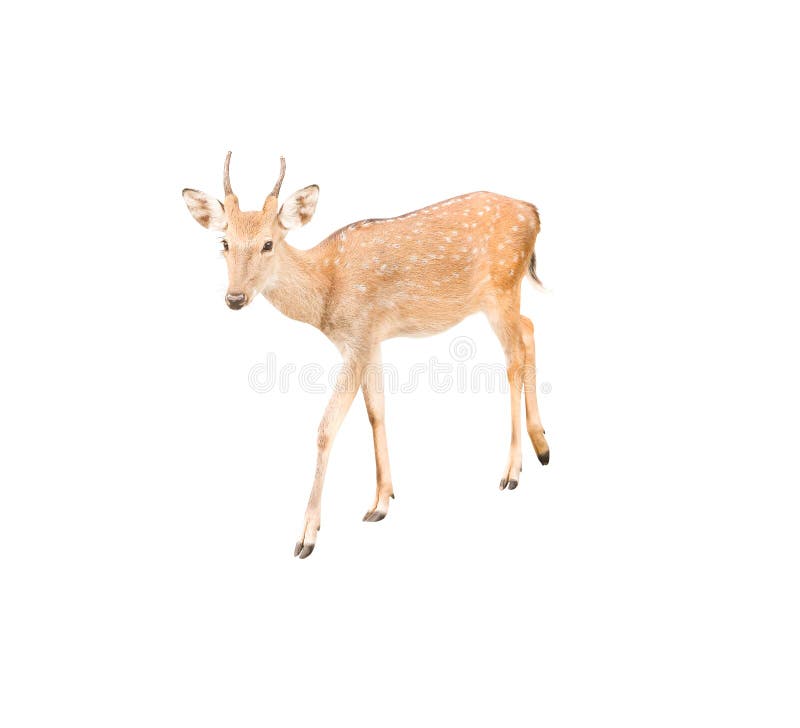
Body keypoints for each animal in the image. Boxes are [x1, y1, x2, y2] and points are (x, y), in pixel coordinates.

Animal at [182, 153, 550, 558]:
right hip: (505, 293)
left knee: (513, 356)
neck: (327, 290)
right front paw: (381, 502)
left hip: (501, 286)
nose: (234, 298)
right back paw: (542, 446)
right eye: (224, 242)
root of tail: (534, 213)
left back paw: (512, 472)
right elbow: (376, 410)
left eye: (268, 244)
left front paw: (307, 536)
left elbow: (326, 427)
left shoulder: (357, 337)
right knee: (530, 328)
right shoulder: (371, 339)